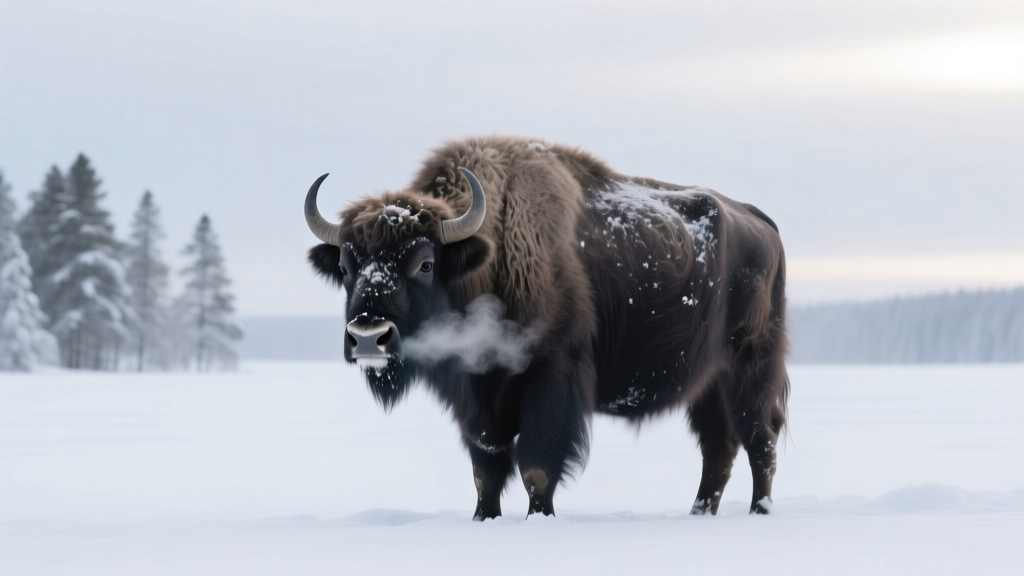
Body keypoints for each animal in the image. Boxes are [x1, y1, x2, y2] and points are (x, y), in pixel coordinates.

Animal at [305, 136, 789, 519]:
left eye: (425, 264)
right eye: (346, 267)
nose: (369, 337)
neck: (492, 253)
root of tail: (759, 221)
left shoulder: (551, 382)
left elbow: (536, 468)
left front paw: (539, 518)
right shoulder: (478, 403)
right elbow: (485, 471)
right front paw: (484, 518)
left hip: (749, 369)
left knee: (759, 440)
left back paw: (758, 511)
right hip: (706, 384)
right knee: (719, 447)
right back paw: (699, 513)